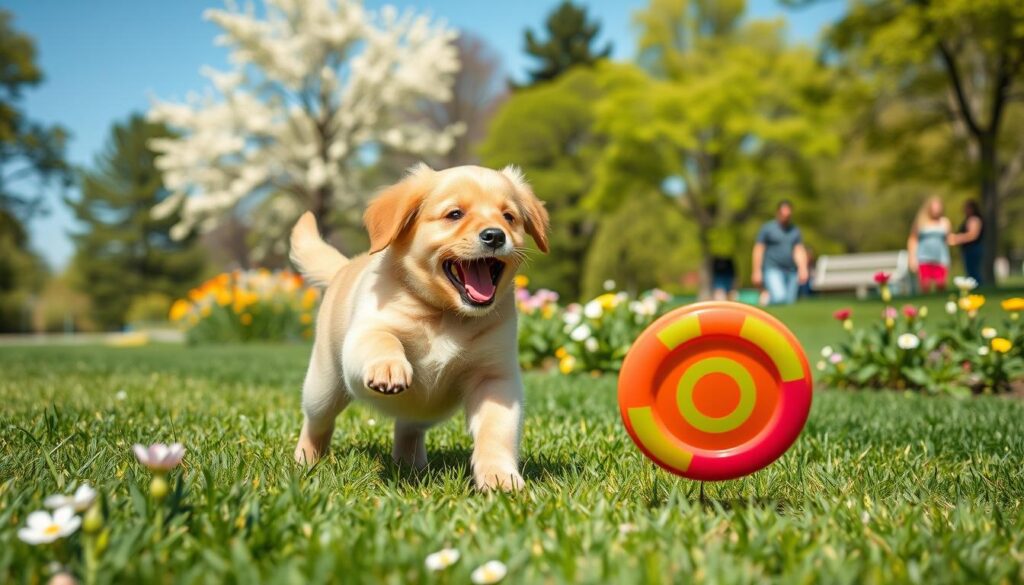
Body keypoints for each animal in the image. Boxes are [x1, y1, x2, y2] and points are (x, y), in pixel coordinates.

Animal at [288, 162, 548, 491]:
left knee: (409, 426)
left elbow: (496, 431)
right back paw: (306, 459)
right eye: (455, 214)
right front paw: (388, 367)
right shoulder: (366, 330)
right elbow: (382, 339)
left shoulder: (494, 378)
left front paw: (499, 477)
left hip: (426, 411)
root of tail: (344, 267)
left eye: (509, 217)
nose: (495, 236)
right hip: (323, 385)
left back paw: (409, 463)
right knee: (317, 421)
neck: (445, 314)